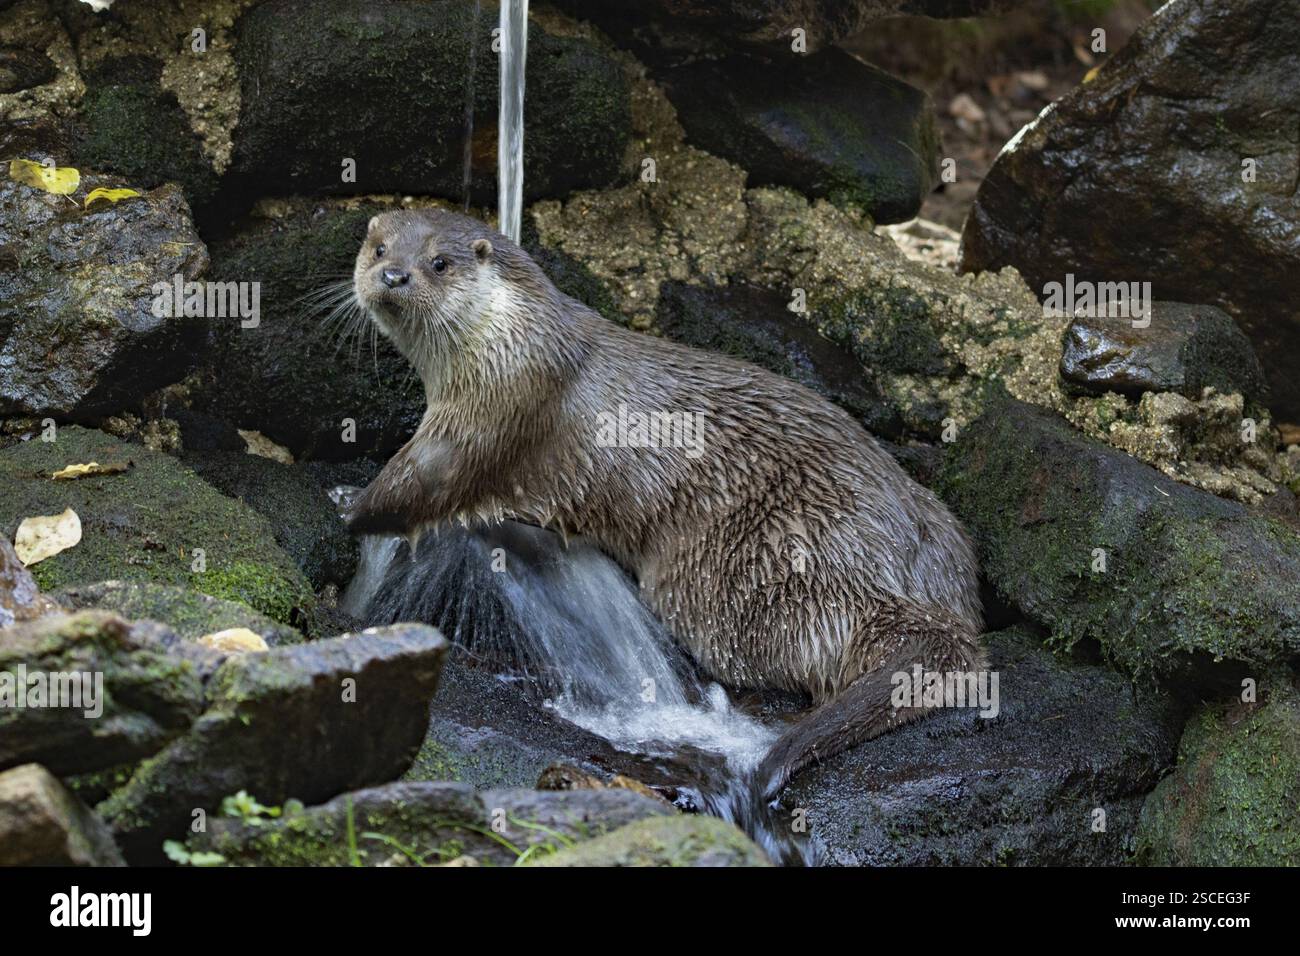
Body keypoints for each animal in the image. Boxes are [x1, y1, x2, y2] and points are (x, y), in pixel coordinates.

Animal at [346, 209, 984, 794]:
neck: (515, 341)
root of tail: (906, 592)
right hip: (938, 527)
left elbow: (417, 482)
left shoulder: (489, 414)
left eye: (439, 263)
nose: (395, 275)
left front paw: (351, 508)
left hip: (751, 565)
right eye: (379, 249)